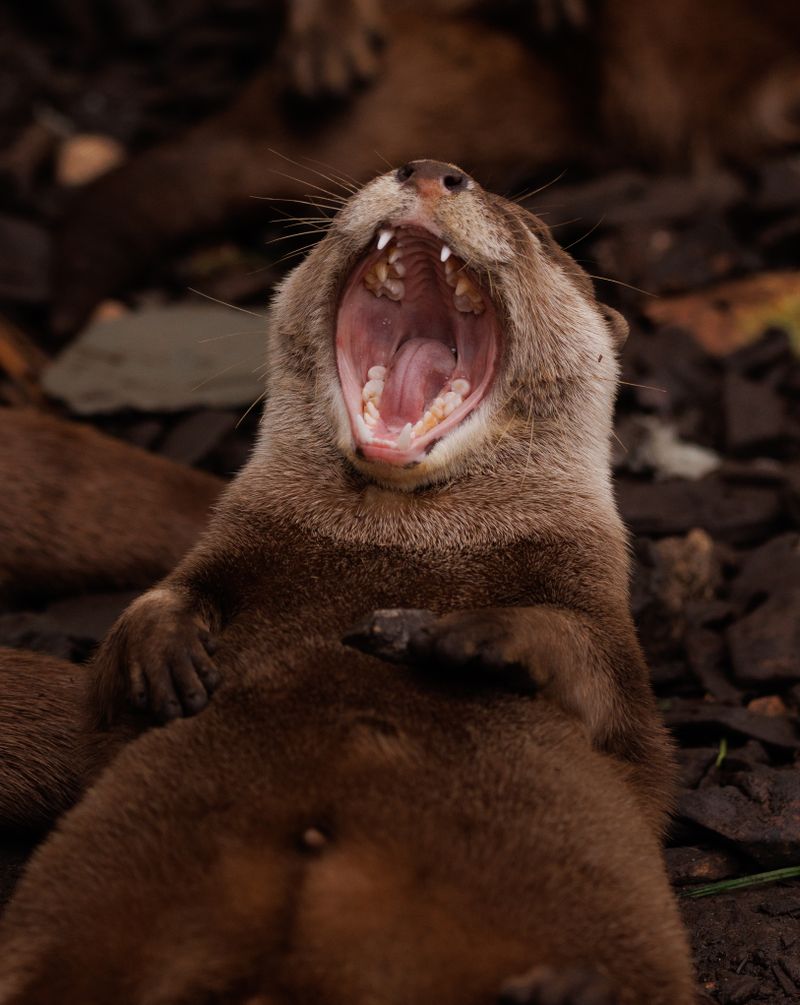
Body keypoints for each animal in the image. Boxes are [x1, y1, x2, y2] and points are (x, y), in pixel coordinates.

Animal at [0, 163, 694, 1002]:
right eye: (396, 169)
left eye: (537, 232)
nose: (430, 170)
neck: (406, 548)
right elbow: (137, 646)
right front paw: (159, 643)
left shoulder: (598, 616)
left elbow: (607, 694)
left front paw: (463, 631)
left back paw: (565, 986)